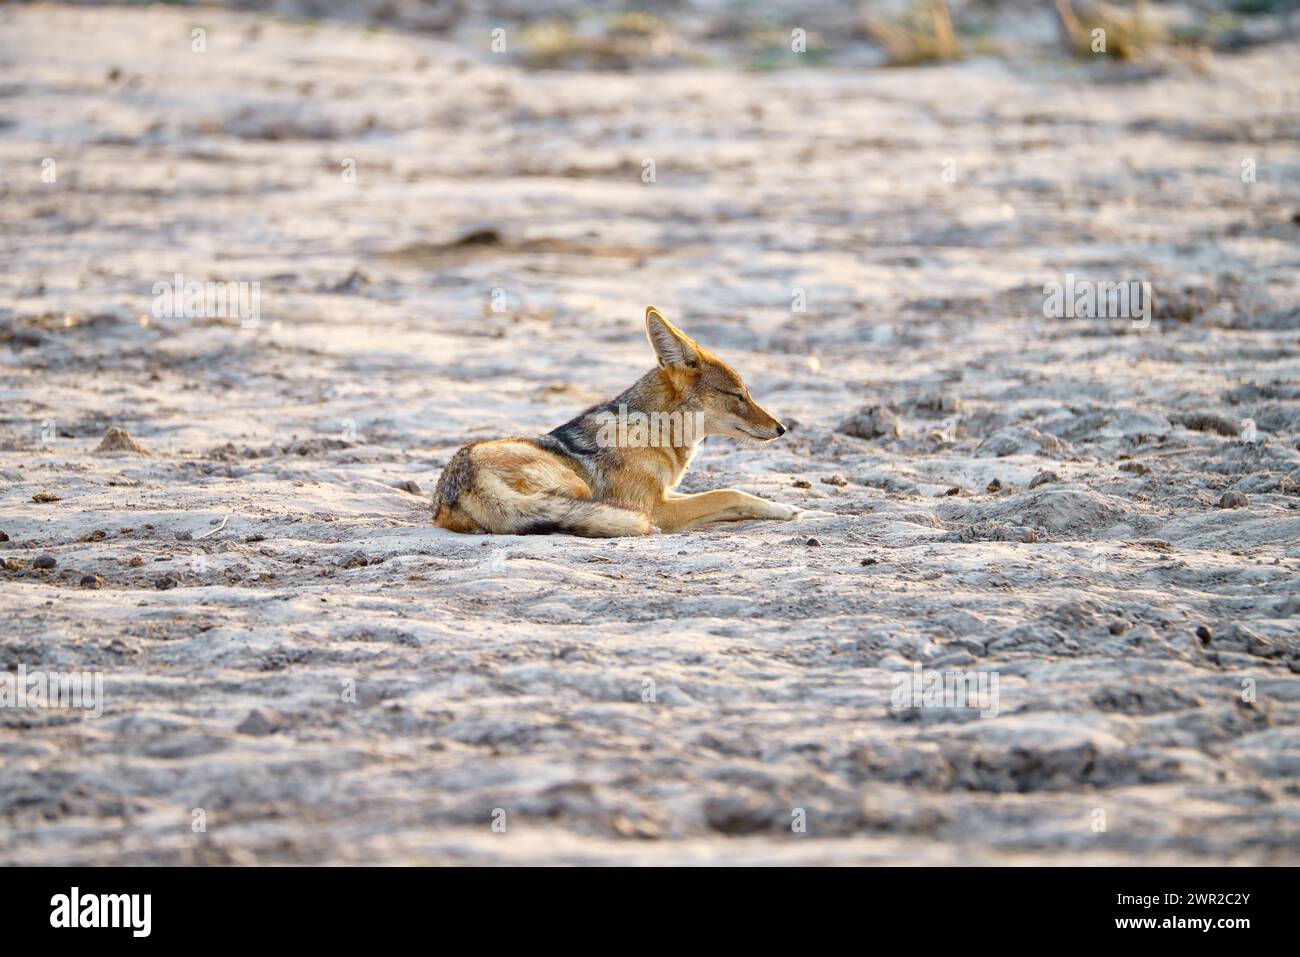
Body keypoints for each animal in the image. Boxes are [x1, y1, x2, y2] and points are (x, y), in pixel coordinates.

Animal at [432, 306, 826, 536]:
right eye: (738, 396)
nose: (782, 429)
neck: (656, 431)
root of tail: (461, 478)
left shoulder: (664, 495)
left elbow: (732, 497)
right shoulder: (656, 507)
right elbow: (729, 492)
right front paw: (794, 510)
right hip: (581, 490)